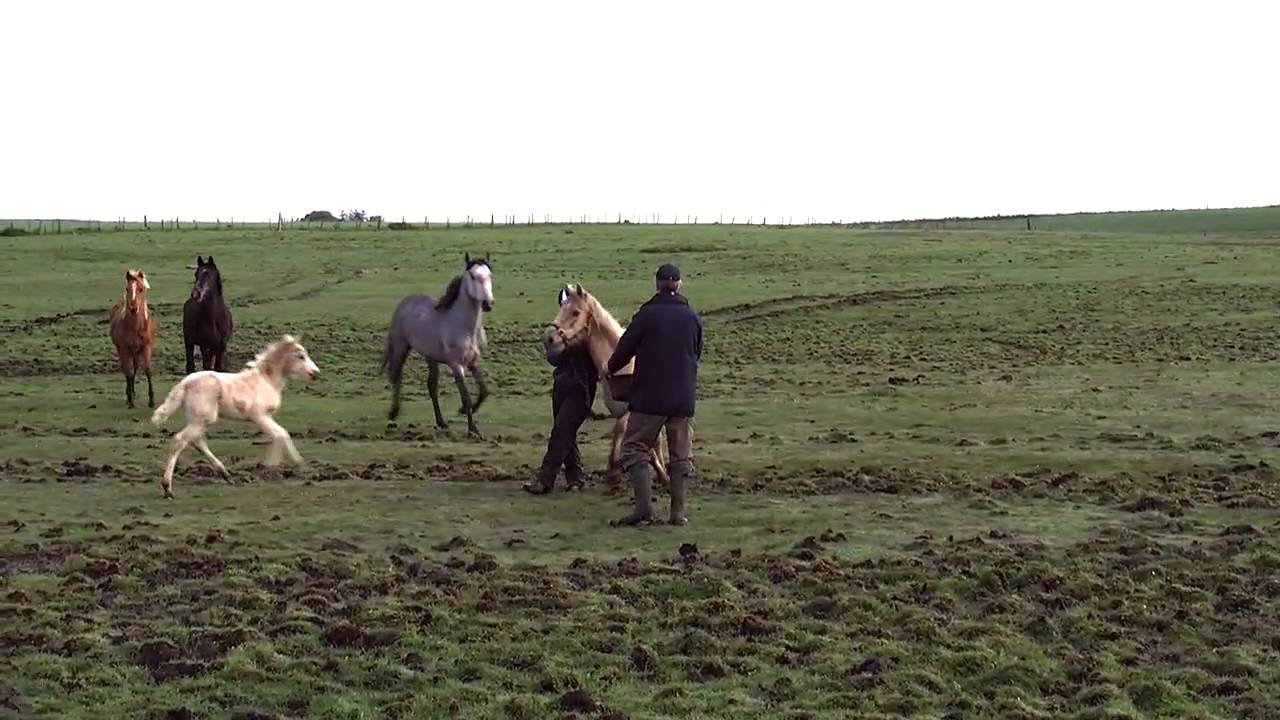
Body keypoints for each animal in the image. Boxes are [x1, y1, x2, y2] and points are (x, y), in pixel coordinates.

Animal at [108, 268, 156, 408]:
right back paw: (129, 394)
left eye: (141, 289)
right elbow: (129, 372)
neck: (135, 328)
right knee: (128, 371)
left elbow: (148, 370)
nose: (133, 308)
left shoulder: (146, 347)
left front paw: (151, 401)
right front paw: (130, 401)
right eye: (127, 288)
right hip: (124, 351)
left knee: (134, 369)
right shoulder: (125, 349)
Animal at [151, 335, 320, 499]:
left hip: (199, 420)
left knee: (197, 442)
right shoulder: (260, 416)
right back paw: (168, 488)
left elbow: (281, 434)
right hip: (202, 419)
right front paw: (276, 466)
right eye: (301, 356)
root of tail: (185, 383)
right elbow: (281, 434)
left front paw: (288, 464)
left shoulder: (265, 417)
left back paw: (226, 475)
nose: (316, 373)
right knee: (180, 440)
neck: (267, 380)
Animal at [381, 253, 494, 436]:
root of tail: (406, 300)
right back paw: (394, 413)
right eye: (472, 276)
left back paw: (441, 422)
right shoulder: (456, 365)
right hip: (400, 347)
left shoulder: (473, 362)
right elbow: (466, 397)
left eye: (490, 275)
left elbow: (484, 391)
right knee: (396, 376)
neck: (464, 327)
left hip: (430, 356)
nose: (488, 304)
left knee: (431, 386)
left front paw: (464, 412)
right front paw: (473, 429)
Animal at [544, 283, 669, 486]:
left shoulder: (631, 412)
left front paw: (615, 469)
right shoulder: (619, 412)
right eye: (561, 308)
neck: (620, 367)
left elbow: (622, 430)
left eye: (576, 312)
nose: (550, 339)